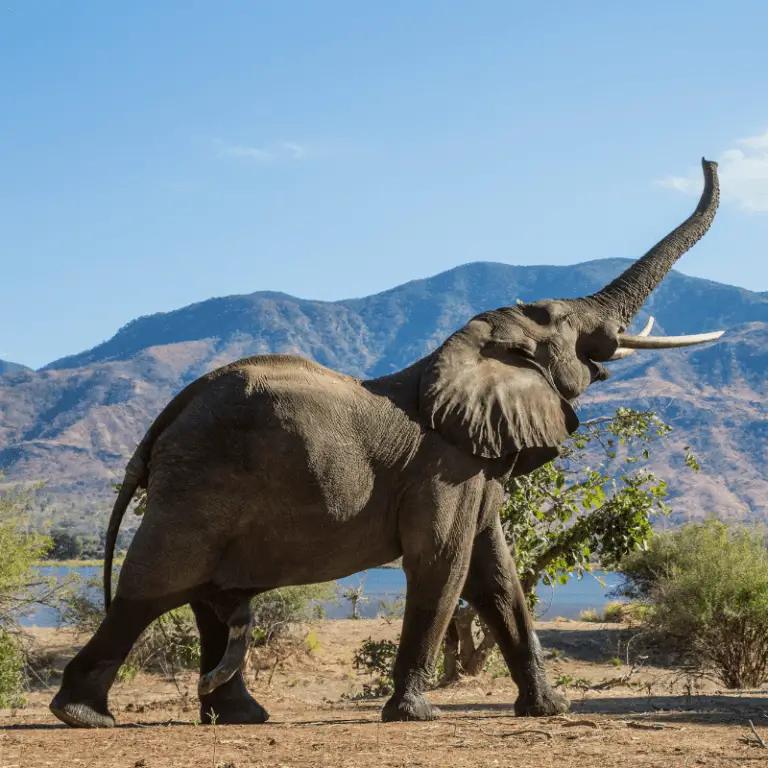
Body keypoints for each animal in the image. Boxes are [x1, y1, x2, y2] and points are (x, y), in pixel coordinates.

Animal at [50, 158, 725, 729]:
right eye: (563, 322)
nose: (709, 159)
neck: (464, 351)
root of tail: (167, 417)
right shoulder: (444, 469)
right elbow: (443, 563)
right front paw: (415, 714)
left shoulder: (475, 466)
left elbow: (497, 577)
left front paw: (548, 710)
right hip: (199, 483)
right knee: (154, 588)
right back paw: (82, 716)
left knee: (206, 597)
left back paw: (241, 717)